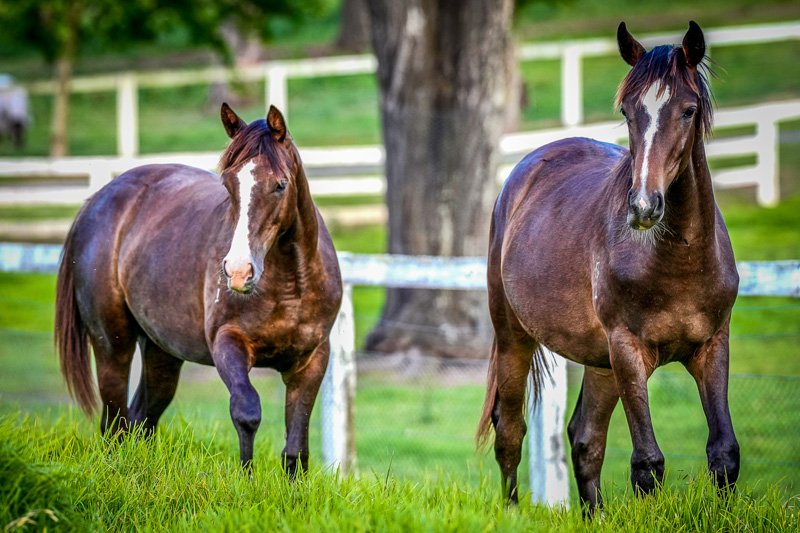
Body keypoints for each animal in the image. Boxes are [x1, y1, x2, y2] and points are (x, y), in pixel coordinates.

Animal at [55, 103, 343, 476]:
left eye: (280, 185)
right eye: (229, 185)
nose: (238, 271)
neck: (290, 285)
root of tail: (97, 201)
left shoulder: (311, 359)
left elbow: (296, 447)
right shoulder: (228, 344)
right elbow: (246, 411)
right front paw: (246, 480)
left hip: (162, 352)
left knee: (142, 419)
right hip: (112, 346)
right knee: (115, 423)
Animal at [477, 21, 739, 514]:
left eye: (689, 110)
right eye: (627, 109)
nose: (644, 206)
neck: (679, 261)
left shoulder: (712, 346)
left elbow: (723, 453)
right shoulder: (628, 350)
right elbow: (648, 463)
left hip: (600, 363)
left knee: (585, 440)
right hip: (515, 336)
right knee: (511, 432)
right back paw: (511, 510)